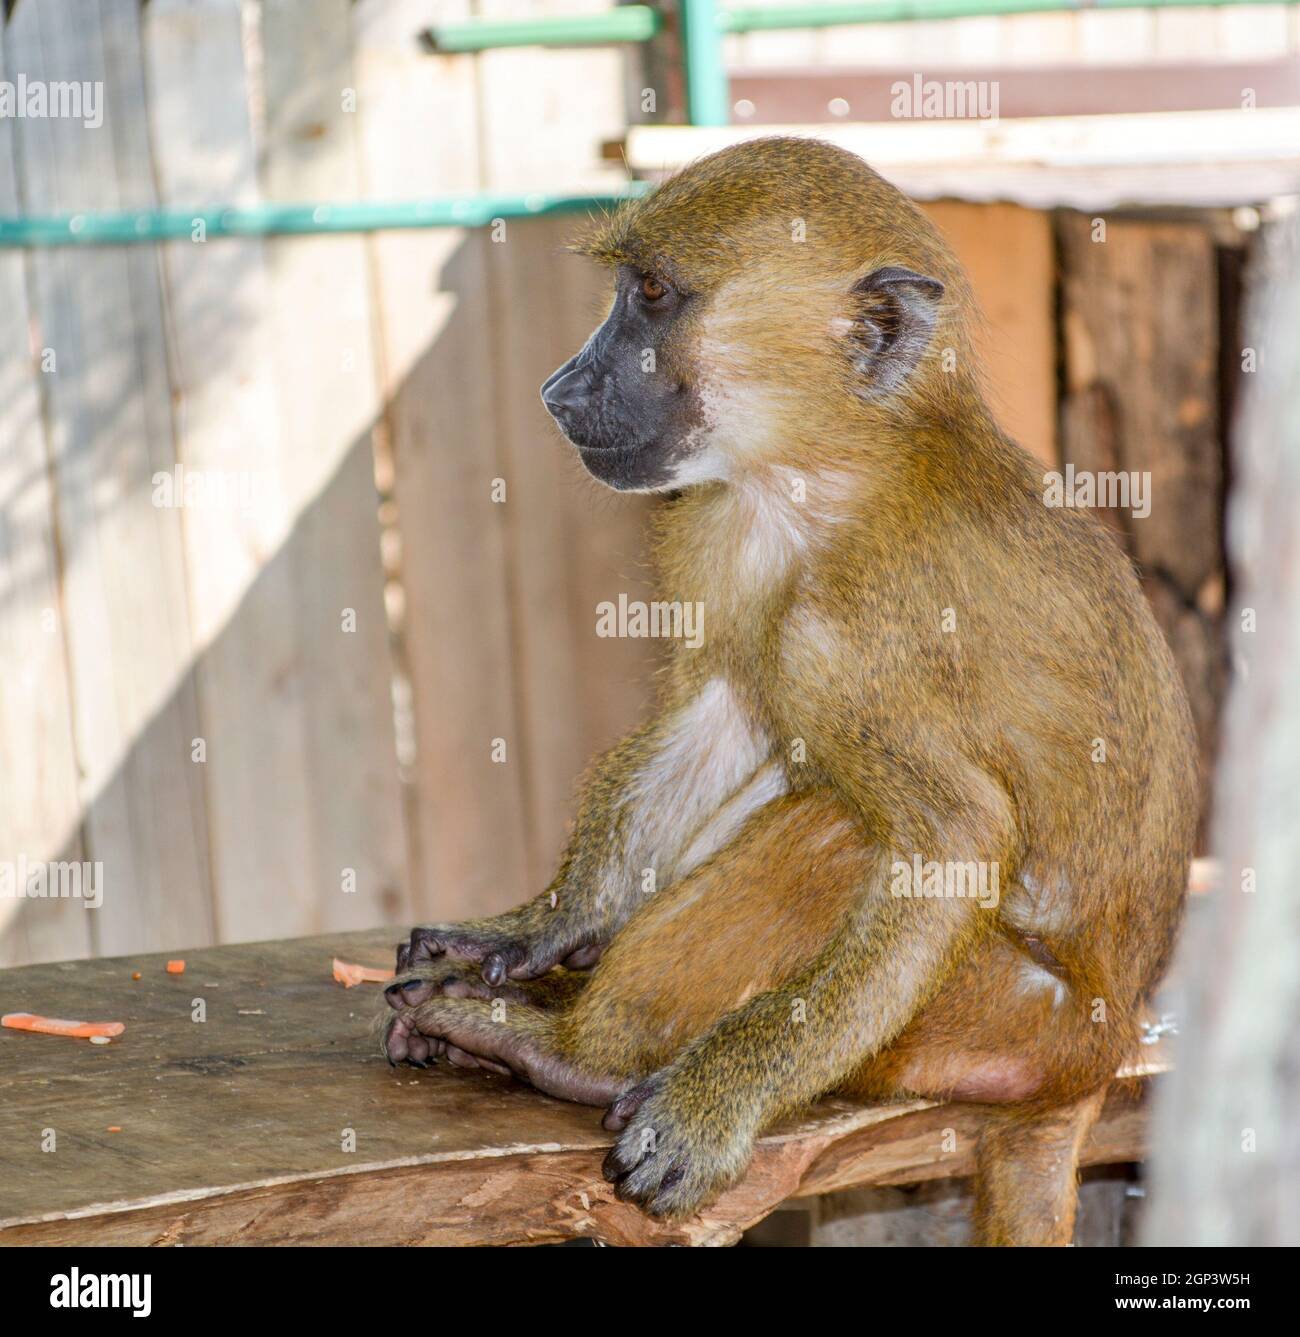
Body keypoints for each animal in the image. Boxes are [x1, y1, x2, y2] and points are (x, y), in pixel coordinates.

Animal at [380, 137, 1198, 1246]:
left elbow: (953, 840)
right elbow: (718, 717)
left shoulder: (853, 636)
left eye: (652, 296)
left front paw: (712, 1100)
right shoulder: (724, 531)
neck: (823, 476)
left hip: (1004, 1024)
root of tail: (1100, 1055)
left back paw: (575, 1054)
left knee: (839, 829)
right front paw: (530, 928)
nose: (560, 387)